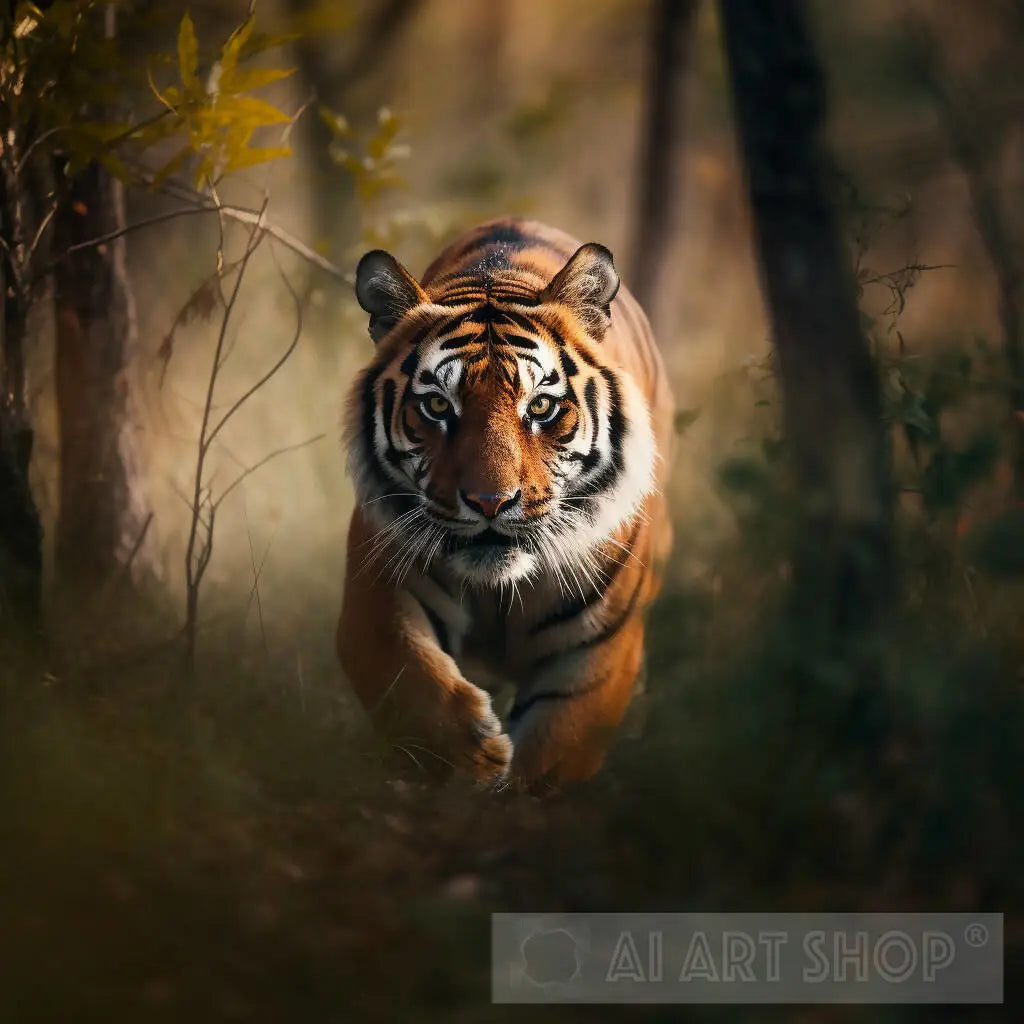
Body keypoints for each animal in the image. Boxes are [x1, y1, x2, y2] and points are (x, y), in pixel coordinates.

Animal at [336, 218, 674, 792]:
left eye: (540, 406)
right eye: (436, 405)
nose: (491, 503)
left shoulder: (601, 652)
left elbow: (548, 759)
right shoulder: (375, 593)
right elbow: (410, 678)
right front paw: (472, 759)